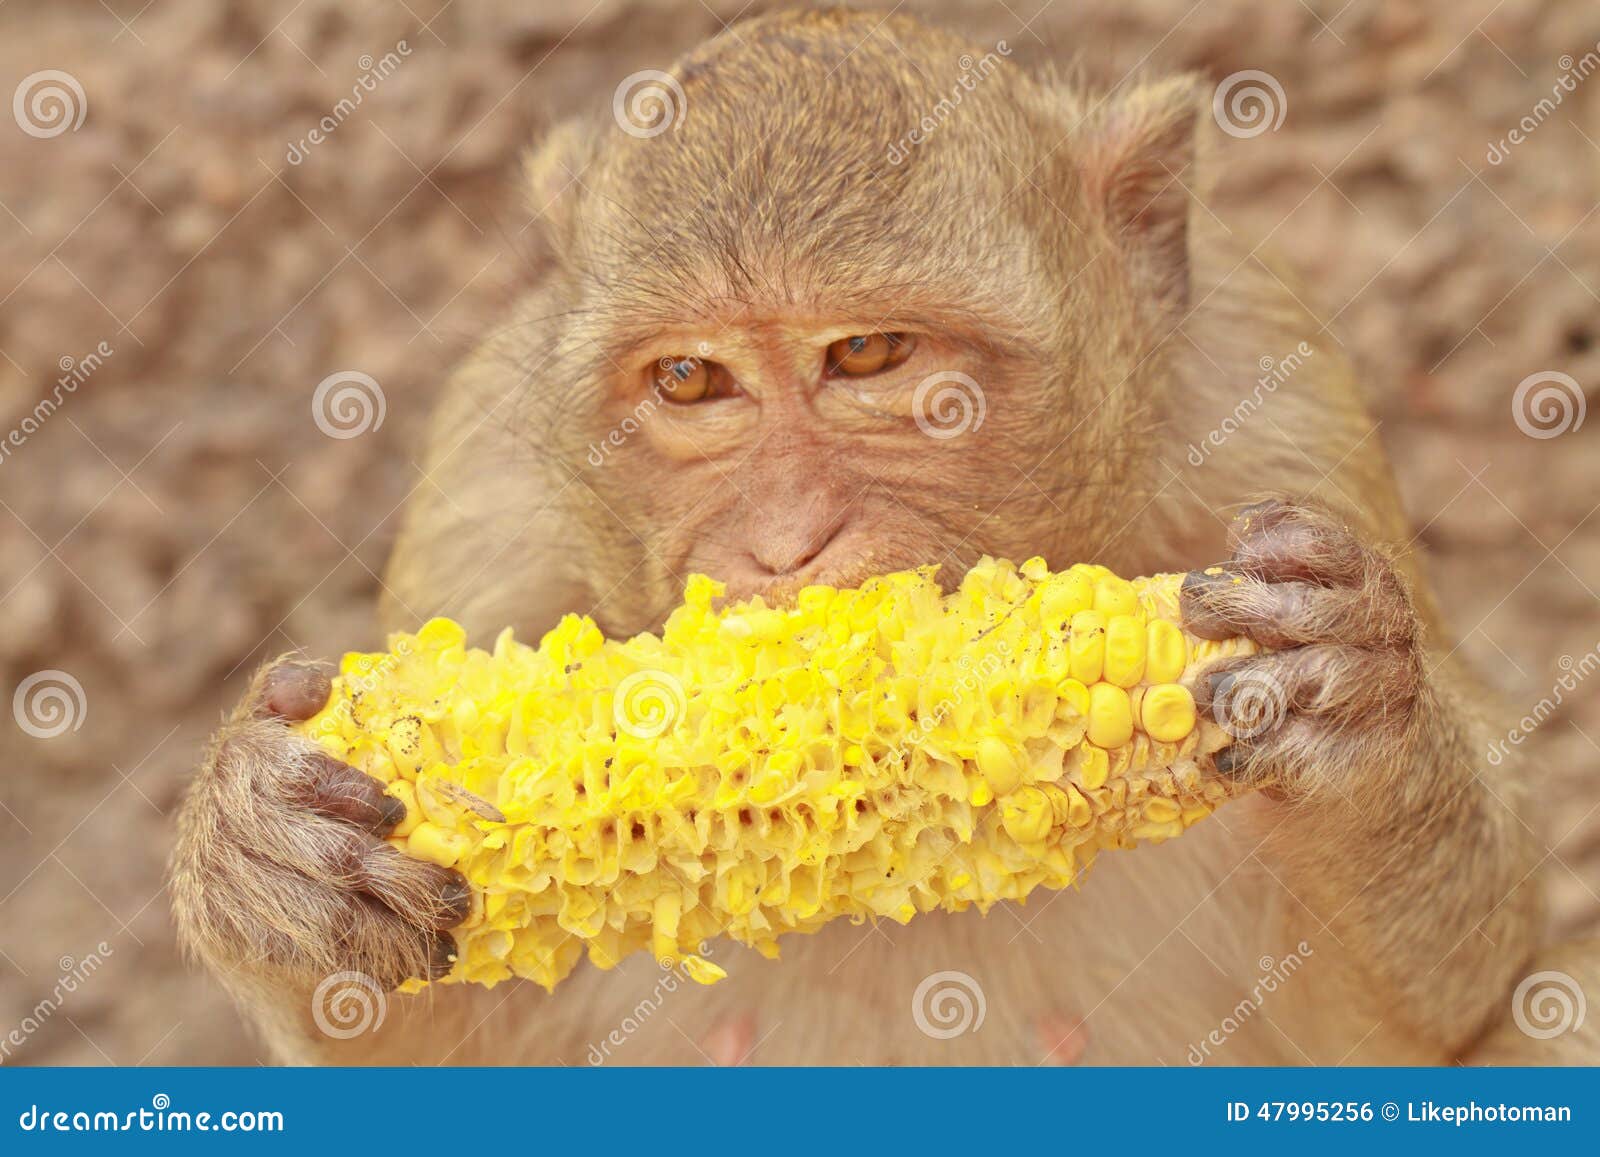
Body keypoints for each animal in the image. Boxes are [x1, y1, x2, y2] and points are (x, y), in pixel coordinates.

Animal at [171, 8, 1597, 1065]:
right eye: (689, 379)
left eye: (867, 355)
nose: (787, 544)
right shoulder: (481, 508)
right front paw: (259, 850)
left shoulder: (1283, 399)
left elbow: (1437, 1016)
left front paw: (1358, 703)